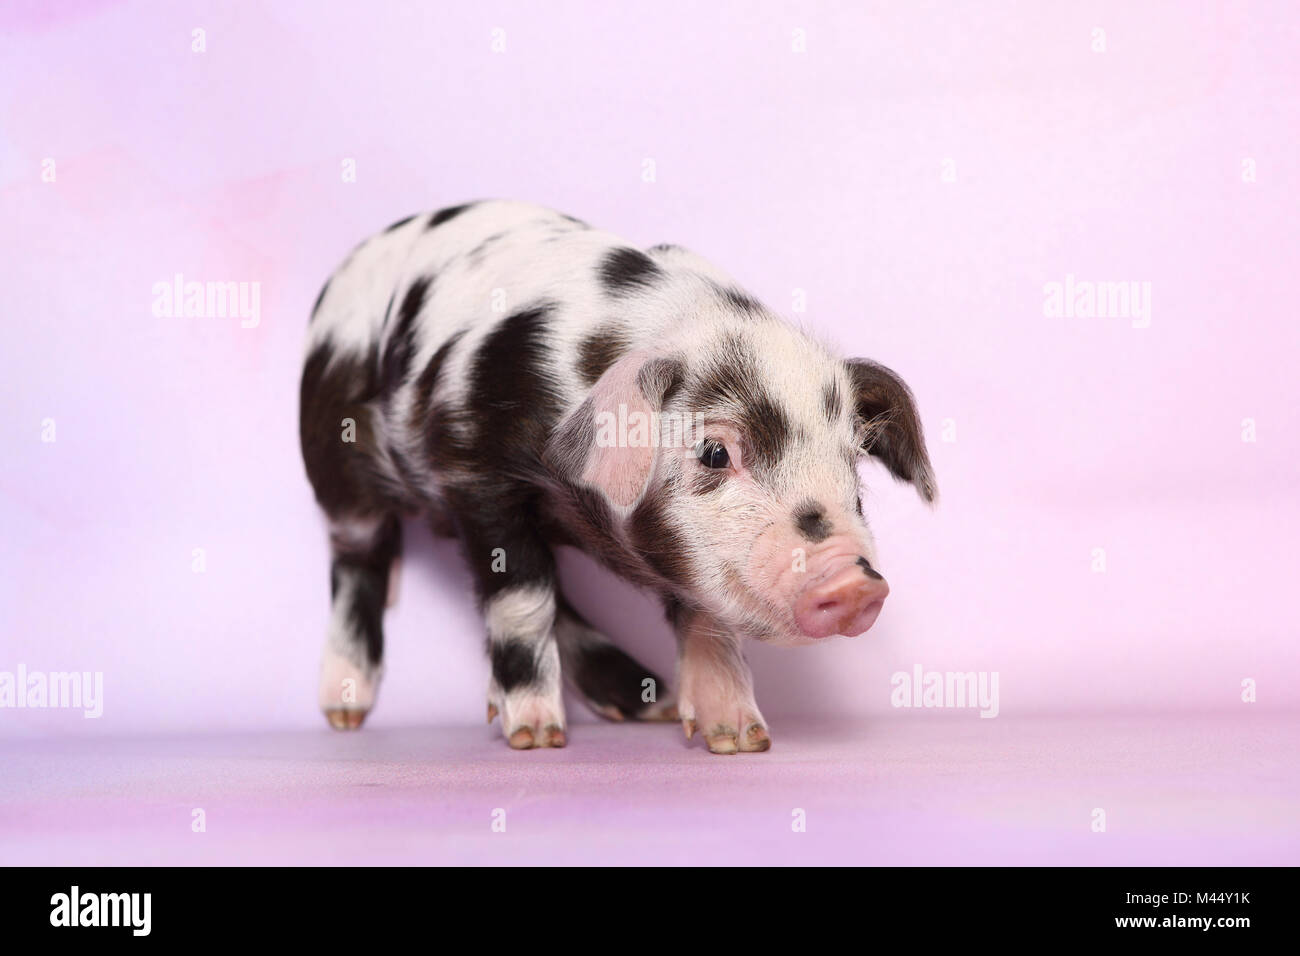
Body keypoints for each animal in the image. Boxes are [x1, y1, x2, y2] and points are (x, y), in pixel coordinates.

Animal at [300, 200, 935, 754]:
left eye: (853, 467)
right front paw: (535, 737)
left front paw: (740, 740)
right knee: (358, 556)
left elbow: (705, 617)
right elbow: (521, 597)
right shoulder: (472, 471)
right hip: (334, 458)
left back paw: (644, 705)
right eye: (714, 453)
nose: (855, 583)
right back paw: (344, 712)